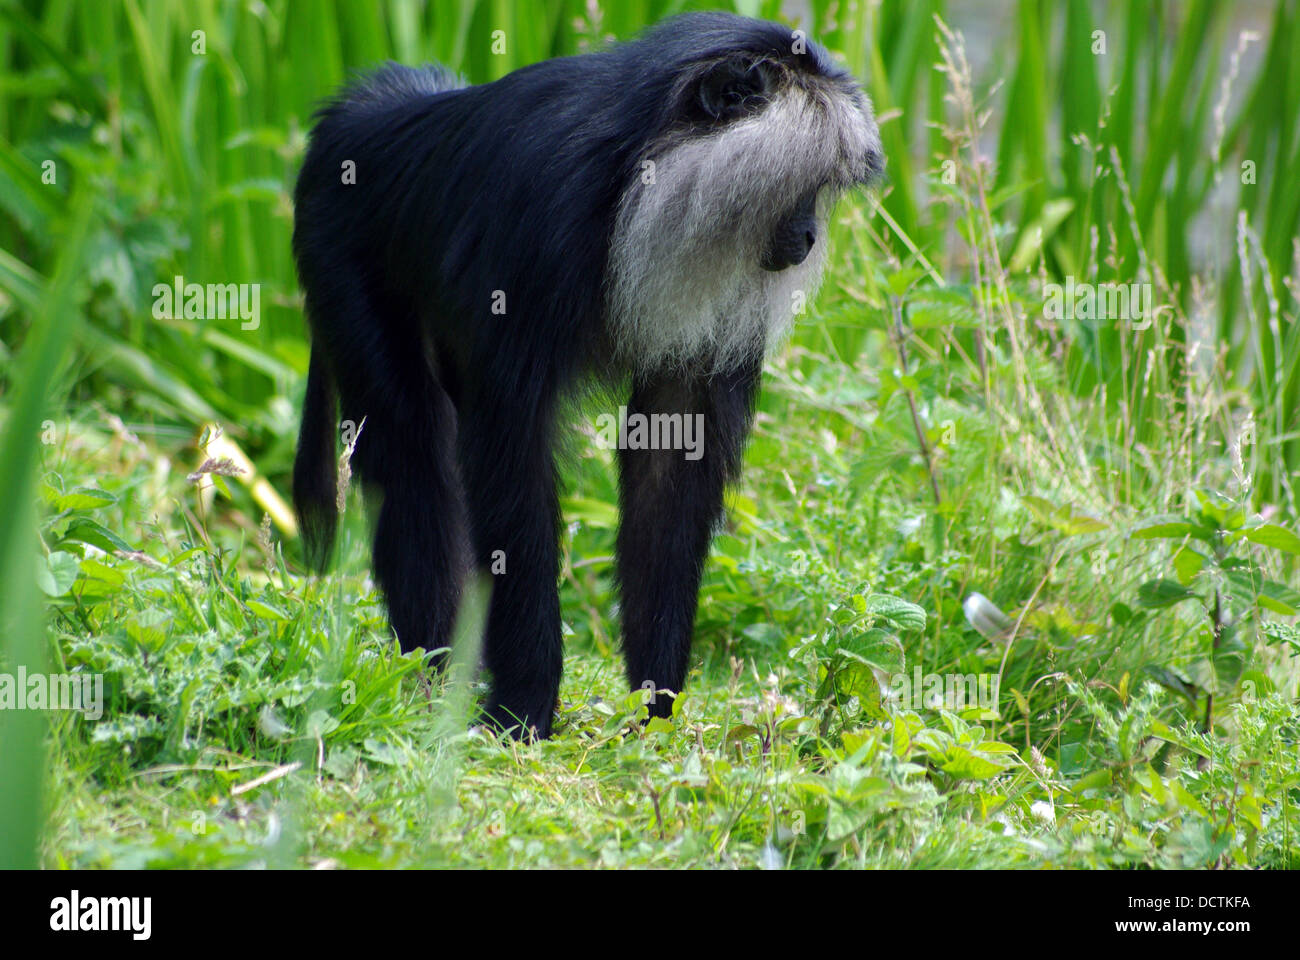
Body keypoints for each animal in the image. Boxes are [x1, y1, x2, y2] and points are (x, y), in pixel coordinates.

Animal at [292, 12, 883, 740]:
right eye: (803, 188)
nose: (805, 238)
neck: (635, 169)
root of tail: (360, 114)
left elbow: (673, 452)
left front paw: (655, 712)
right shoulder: (538, 217)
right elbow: (510, 457)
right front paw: (524, 710)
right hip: (339, 256)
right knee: (411, 454)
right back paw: (434, 678)